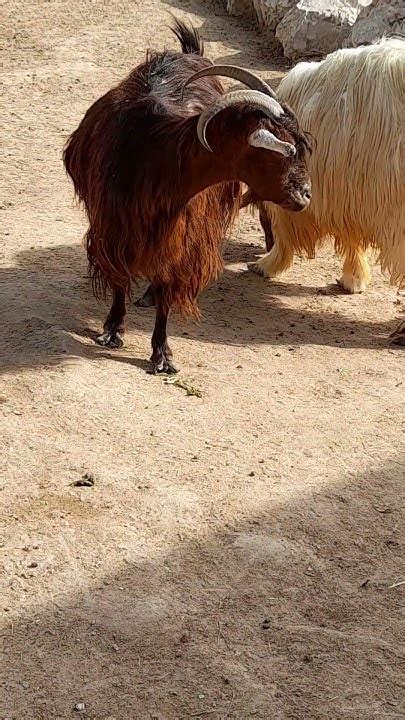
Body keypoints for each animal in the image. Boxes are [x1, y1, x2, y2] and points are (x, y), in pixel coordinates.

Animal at [63, 20, 311, 373]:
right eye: (283, 153)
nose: (305, 195)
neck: (160, 158)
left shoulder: (184, 237)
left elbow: (168, 287)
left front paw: (162, 354)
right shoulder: (112, 227)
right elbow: (119, 278)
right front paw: (112, 330)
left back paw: (150, 295)